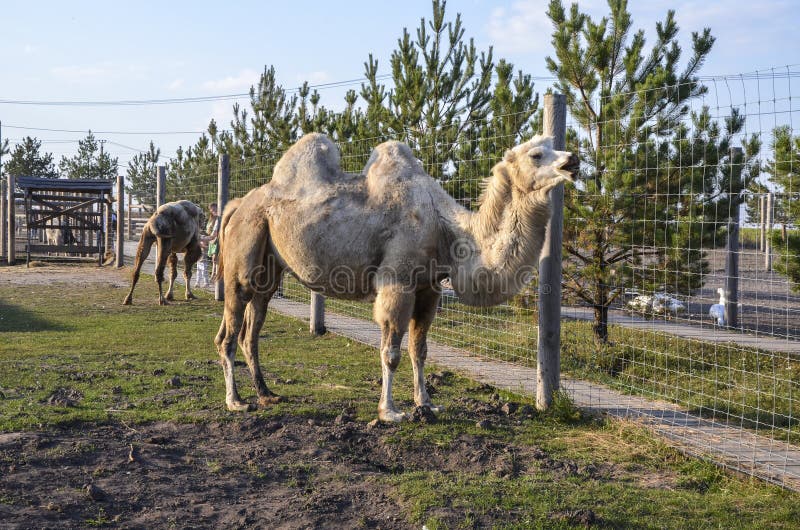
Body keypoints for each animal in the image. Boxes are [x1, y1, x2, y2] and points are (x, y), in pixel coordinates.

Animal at [215, 133, 578, 421]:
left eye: (553, 146)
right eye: (536, 154)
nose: (572, 160)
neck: (448, 228)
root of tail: (236, 205)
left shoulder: (429, 287)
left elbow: (420, 350)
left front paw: (426, 404)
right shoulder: (397, 282)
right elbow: (391, 352)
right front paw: (389, 411)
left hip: (268, 268)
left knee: (251, 330)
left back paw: (266, 394)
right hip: (244, 252)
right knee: (229, 332)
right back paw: (236, 402)